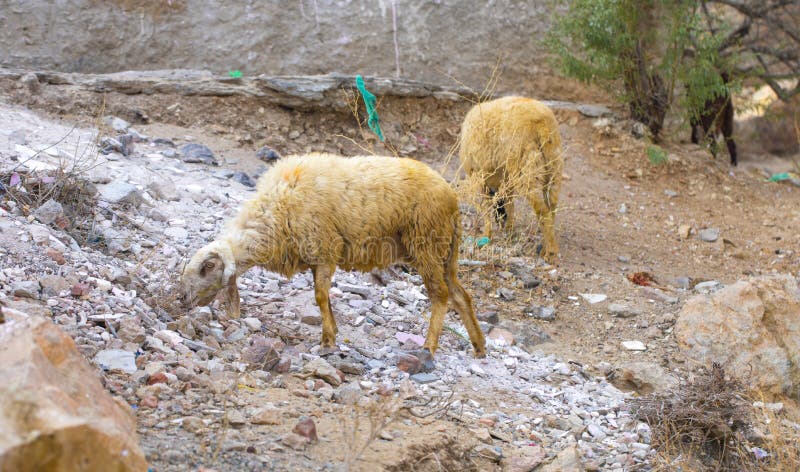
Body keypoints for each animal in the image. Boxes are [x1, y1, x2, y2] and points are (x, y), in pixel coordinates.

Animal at [179, 153, 486, 358]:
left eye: (207, 267)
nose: (182, 299)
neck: (276, 212)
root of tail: (452, 196)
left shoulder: (324, 248)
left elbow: (319, 296)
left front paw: (327, 341)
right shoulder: (317, 256)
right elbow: (323, 297)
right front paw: (333, 331)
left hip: (427, 243)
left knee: (441, 295)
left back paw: (429, 346)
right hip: (445, 252)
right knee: (461, 295)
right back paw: (479, 346)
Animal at [458, 96, 564, 263]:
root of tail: (541, 120)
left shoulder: (478, 177)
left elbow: (486, 208)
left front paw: (487, 236)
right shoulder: (506, 180)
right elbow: (510, 204)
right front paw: (509, 230)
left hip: (525, 169)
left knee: (543, 211)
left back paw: (551, 253)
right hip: (553, 166)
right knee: (552, 208)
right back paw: (547, 247)